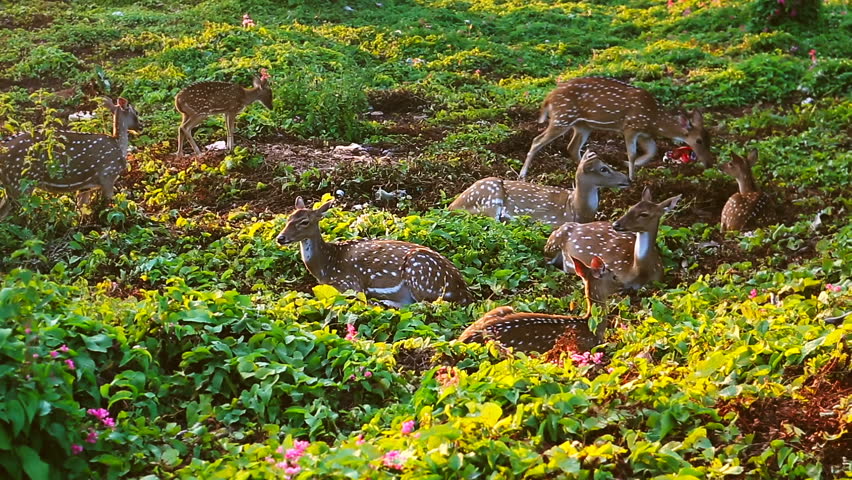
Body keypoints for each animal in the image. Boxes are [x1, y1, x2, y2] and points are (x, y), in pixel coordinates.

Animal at [0, 97, 141, 219]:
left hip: (12, 186)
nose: (142, 126)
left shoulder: (85, 187)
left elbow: (82, 209)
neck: (119, 146)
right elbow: (109, 206)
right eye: (136, 112)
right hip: (21, 183)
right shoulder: (108, 175)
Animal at [276, 197, 473, 307]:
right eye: (288, 218)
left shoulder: (348, 283)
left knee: (423, 305)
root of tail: (463, 292)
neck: (325, 266)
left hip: (420, 273)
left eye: (304, 221)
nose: (280, 238)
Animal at [448, 150, 630, 226]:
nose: (627, 179)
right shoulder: (552, 221)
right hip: (490, 197)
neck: (576, 209)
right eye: (603, 169)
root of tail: (452, 206)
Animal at [519, 76, 713, 180]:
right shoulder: (630, 126)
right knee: (537, 140)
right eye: (698, 140)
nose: (709, 163)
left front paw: (628, 166)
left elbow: (652, 151)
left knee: (572, 147)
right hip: (563, 118)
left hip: (583, 125)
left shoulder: (645, 133)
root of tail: (548, 98)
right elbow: (632, 153)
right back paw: (522, 174)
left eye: (709, 139)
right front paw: (631, 177)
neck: (653, 119)